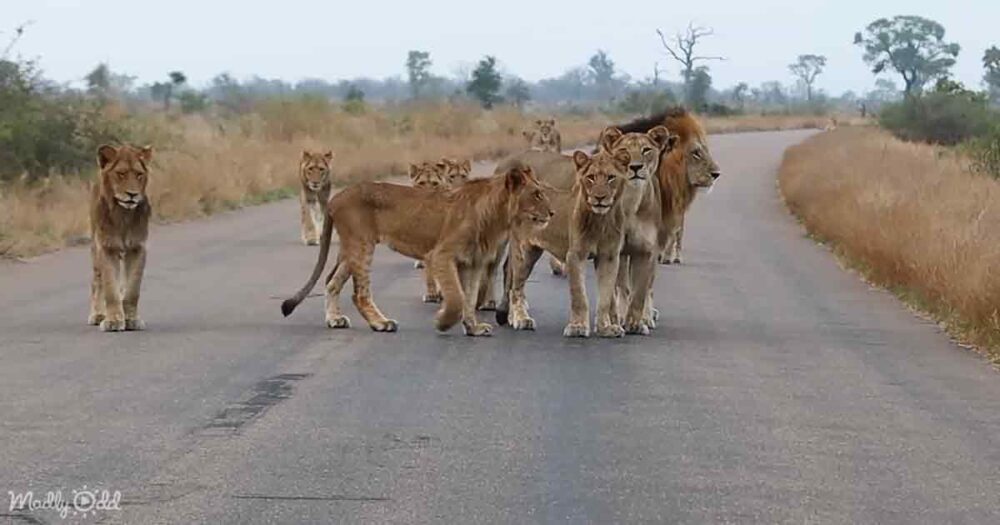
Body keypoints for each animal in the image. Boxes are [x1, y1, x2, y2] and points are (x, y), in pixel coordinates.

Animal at [87, 144, 153, 332]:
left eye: (139, 174)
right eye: (121, 174)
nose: (132, 194)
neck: (123, 215)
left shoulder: (138, 248)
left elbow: (132, 289)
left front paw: (131, 319)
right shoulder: (107, 248)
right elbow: (110, 288)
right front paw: (113, 320)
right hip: (95, 250)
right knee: (97, 282)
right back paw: (98, 315)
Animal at [280, 165, 553, 336]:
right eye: (537, 194)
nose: (552, 213)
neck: (498, 216)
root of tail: (336, 198)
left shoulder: (473, 263)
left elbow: (469, 297)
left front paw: (473, 328)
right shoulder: (441, 255)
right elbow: (456, 297)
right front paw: (443, 322)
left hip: (351, 248)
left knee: (331, 281)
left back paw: (335, 319)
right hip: (362, 244)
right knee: (359, 294)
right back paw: (381, 323)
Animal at [503, 148, 631, 338]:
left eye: (611, 177)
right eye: (591, 177)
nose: (599, 197)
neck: (601, 220)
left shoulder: (609, 257)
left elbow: (606, 296)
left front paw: (606, 328)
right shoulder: (575, 255)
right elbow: (579, 295)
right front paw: (577, 327)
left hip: (532, 253)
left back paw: (513, 317)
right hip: (524, 254)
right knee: (516, 288)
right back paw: (521, 319)